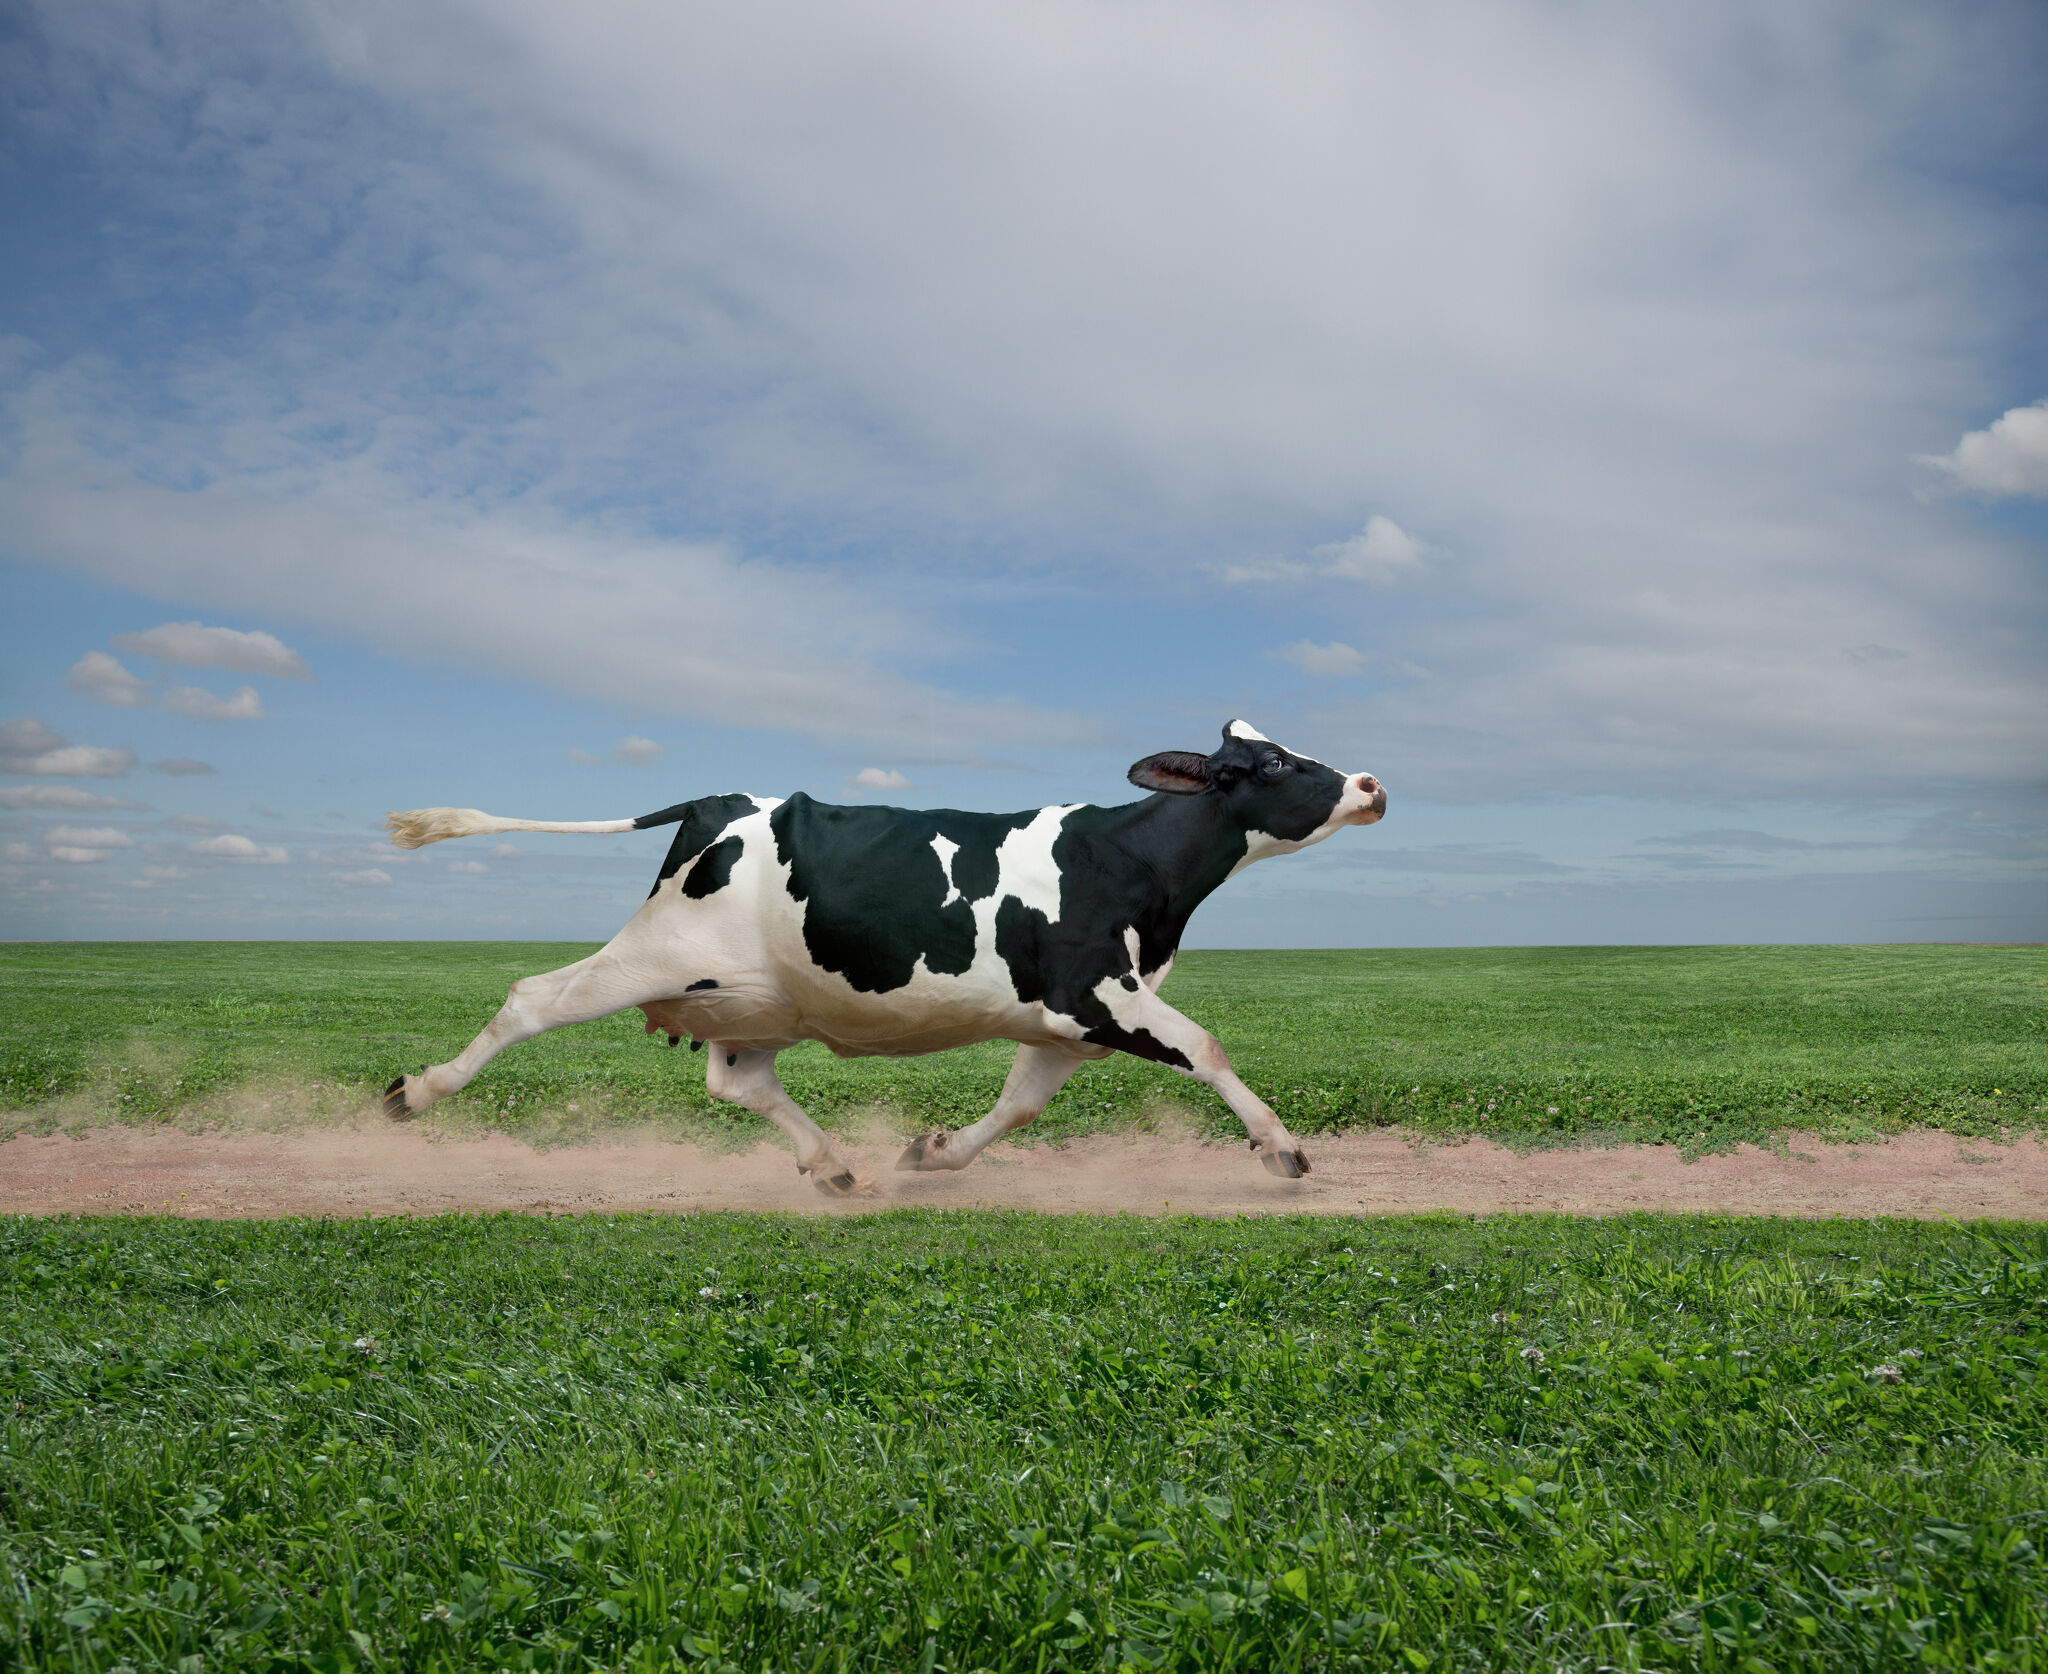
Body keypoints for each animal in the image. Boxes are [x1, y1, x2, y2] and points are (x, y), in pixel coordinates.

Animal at [381, 721, 1386, 1193]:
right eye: (1271, 765)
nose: (1370, 784)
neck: (1129, 860)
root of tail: (717, 800)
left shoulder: (1062, 1021)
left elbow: (1018, 1106)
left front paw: (932, 1153)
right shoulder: (1100, 993)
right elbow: (1208, 1047)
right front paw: (1282, 1150)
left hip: (757, 997)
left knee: (738, 1081)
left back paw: (831, 1165)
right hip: (655, 954)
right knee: (531, 997)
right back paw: (414, 1093)